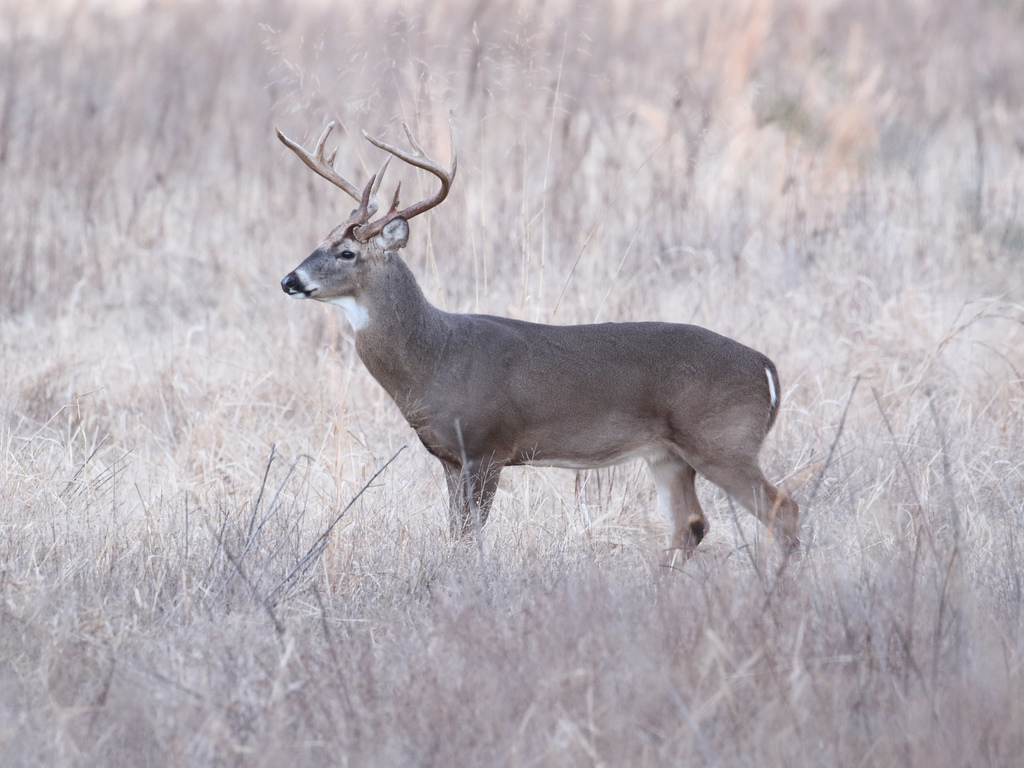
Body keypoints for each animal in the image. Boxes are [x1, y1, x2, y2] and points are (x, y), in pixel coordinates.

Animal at [277, 115, 799, 561]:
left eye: (347, 252)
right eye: (320, 241)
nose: (289, 280)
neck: (436, 358)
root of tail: (768, 368)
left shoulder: (487, 447)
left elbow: (468, 538)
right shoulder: (450, 458)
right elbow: (454, 534)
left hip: (723, 439)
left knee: (783, 509)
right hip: (669, 453)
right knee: (690, 525)